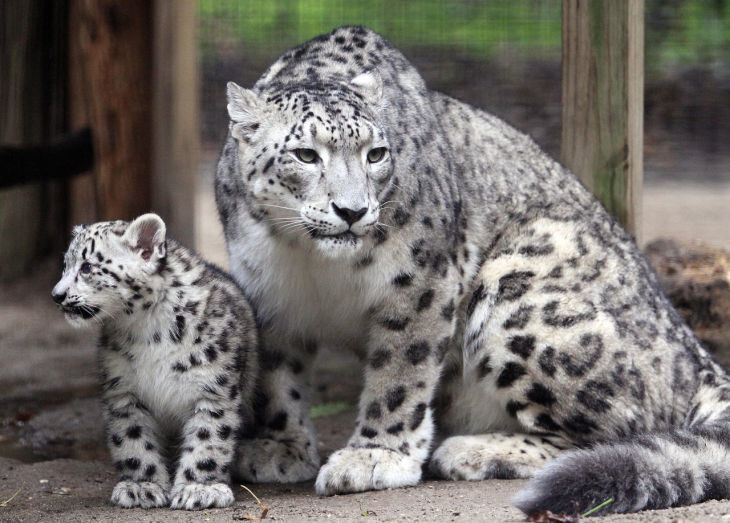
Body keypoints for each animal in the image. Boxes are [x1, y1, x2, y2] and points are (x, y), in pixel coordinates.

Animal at [52, 213, 258, 510]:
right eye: (65, 264)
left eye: (88, 266)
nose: (56, 295)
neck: (148, 331)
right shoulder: (123, 390)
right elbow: (133, 440)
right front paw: (142, 487)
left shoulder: (214, 388)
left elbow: (208, 438)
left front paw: (199, 489)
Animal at [215, 25, 730, 516]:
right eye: (305, 154)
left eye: (375, 153)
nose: (352, 211)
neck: (310, 264)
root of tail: (697, 357)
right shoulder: (270, 295)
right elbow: (277, 378)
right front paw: (280, 446)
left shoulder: (421, 279)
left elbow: (400, 371)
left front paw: (375, 456)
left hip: (518, 296)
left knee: (615, 427)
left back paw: (470, 450)